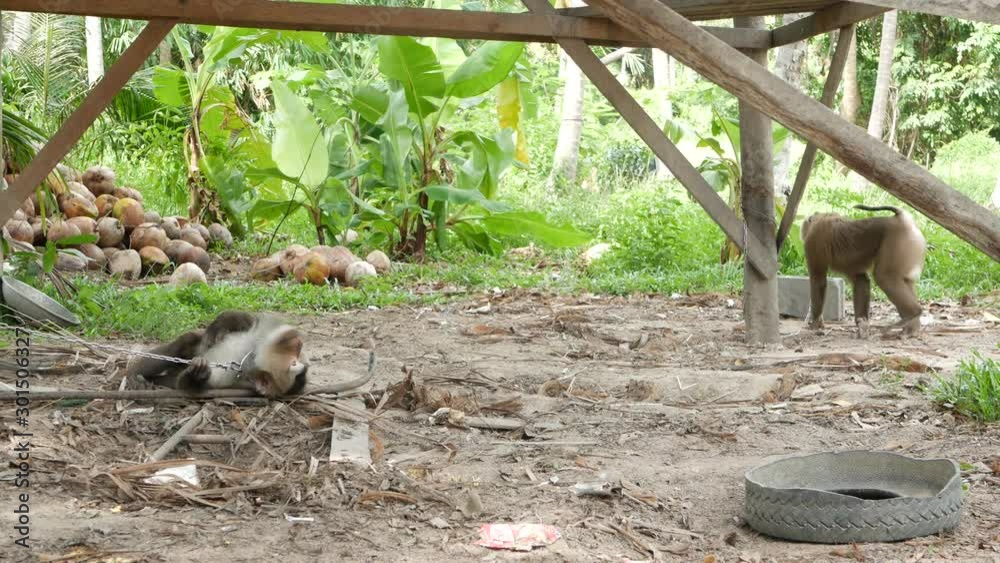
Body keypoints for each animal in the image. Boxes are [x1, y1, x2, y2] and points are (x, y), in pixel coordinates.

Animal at [126, 311, 308, 397]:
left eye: (296, 365)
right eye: (295, 360)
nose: (301, 365)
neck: (247, 360)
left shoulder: (240, 384)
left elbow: (187, 386)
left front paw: (197, 375)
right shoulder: (259, 334)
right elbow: (247, 321)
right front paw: (221, 322)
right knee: (185, 343)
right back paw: (133, 374)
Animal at [801, 205, 926, 338]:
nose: (802, 232)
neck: (820, 218)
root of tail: (902, 219)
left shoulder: (813, 240)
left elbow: (818, 281)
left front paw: (815, 323)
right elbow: (861, 280)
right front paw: (862, 324)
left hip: (898, 242)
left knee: (884, 277)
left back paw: (913, 313)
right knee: (905, 280)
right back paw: (912, 329)